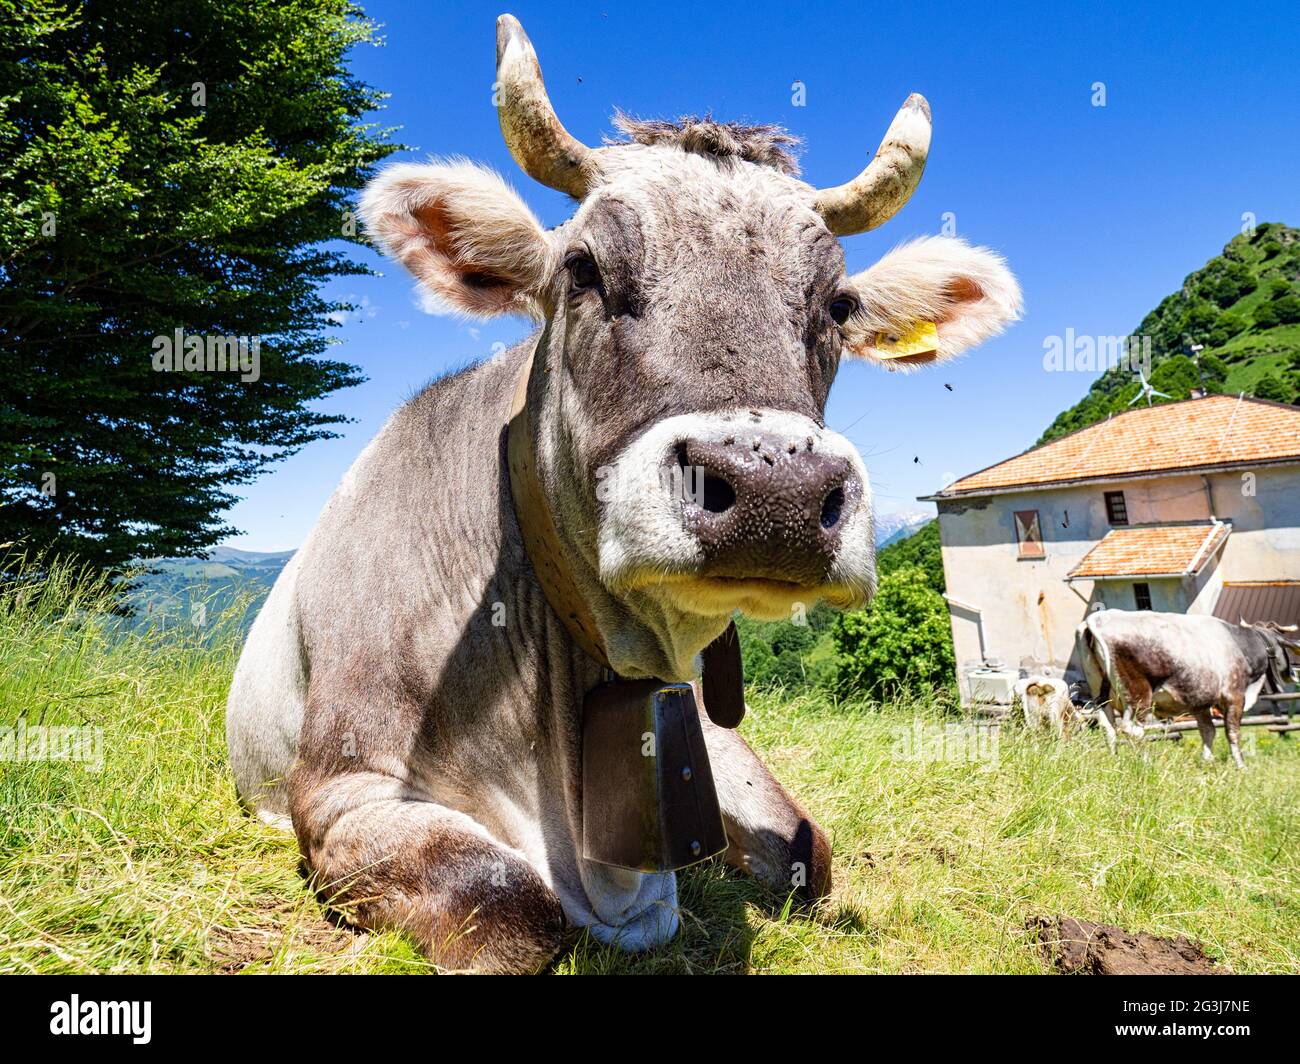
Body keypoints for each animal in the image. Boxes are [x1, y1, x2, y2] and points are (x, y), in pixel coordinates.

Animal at [225, 13, 1022, 972]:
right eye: (582, 268)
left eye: (836, 304)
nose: (776, 490)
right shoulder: (344, 788)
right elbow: (508, 905)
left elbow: (810, 851)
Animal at [1076, 609, 1296, 768]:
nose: (1292, 673)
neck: (1239, 646)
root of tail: (1096, 619)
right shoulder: (1234, 697)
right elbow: (1232, 733)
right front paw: (1241, 766)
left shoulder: (1200, 703)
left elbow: (1208, 731)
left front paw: (1208, 761)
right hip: (1138, 694)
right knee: (1132, 730)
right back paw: (1146, 763)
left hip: (1101, 696)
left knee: (1109, 729)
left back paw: (1114, 760)